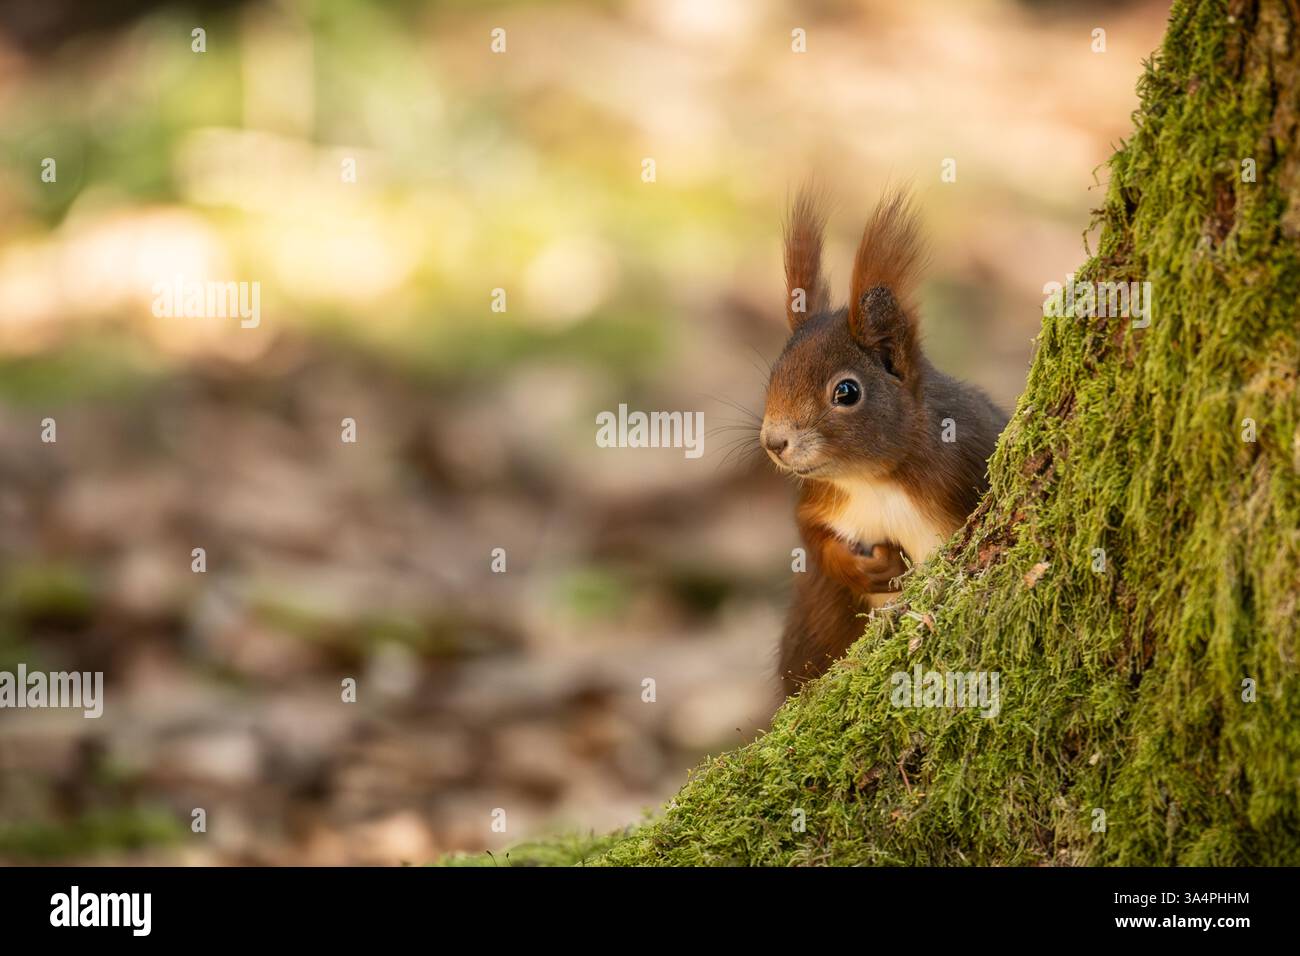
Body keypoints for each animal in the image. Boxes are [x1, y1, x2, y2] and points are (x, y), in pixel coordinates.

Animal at [761, 188, 1009, 696]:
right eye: (774, 374)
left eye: (847, 392)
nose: (774, 441)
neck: (874, 481)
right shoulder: (821, 497)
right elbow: (811, 535)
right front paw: (868, 568)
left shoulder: (969, 458)